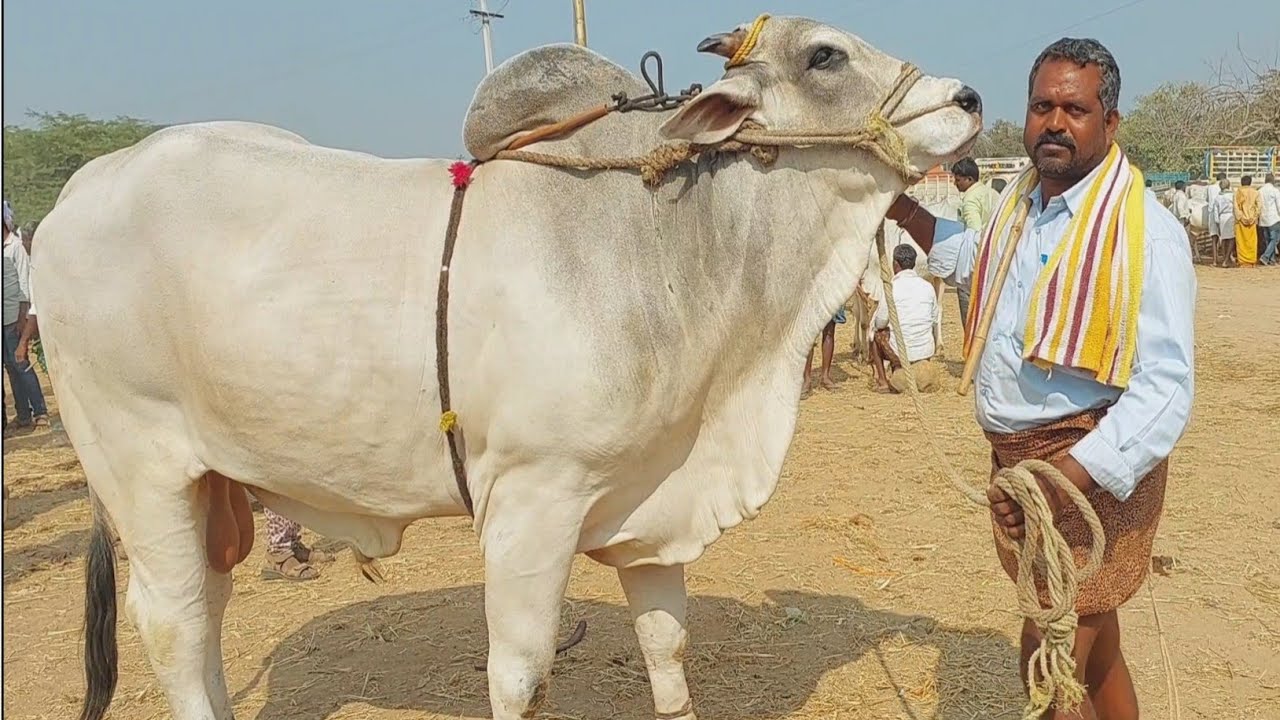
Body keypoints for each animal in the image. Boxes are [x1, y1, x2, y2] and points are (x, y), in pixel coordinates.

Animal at [36, 15, 981, 720]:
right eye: (825, 54)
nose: (967, 98)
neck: (670, 244)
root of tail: (77, 192)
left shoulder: (654, 501)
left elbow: (668, 651)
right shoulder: (534, 499)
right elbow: (521, 677)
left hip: (213, 483)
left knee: (207, 611)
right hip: (141, 469)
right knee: (174, 624)